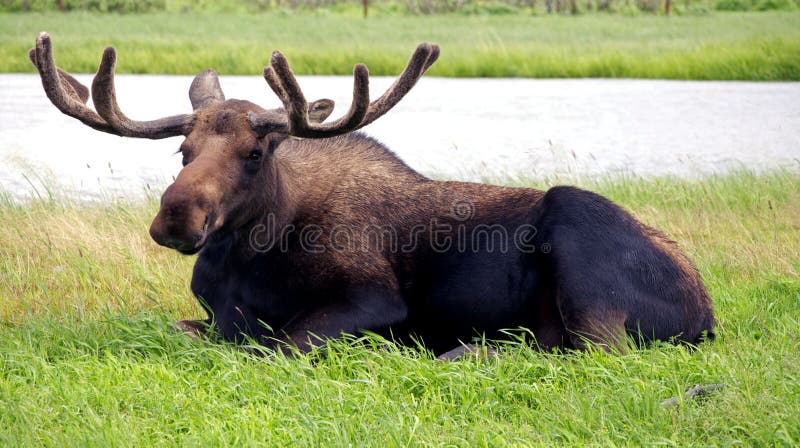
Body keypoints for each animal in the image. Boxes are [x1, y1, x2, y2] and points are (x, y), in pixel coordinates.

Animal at [30, 33, 714, 360]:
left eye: (254, 153)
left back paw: (469, 350)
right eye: (182, 151)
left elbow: (279, 345)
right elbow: (185, 328)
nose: (176, 217)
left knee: (591, 352)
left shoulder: (373, 300)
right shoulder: (212, 314)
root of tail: (706, 318)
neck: (247, 261)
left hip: (579, 242)